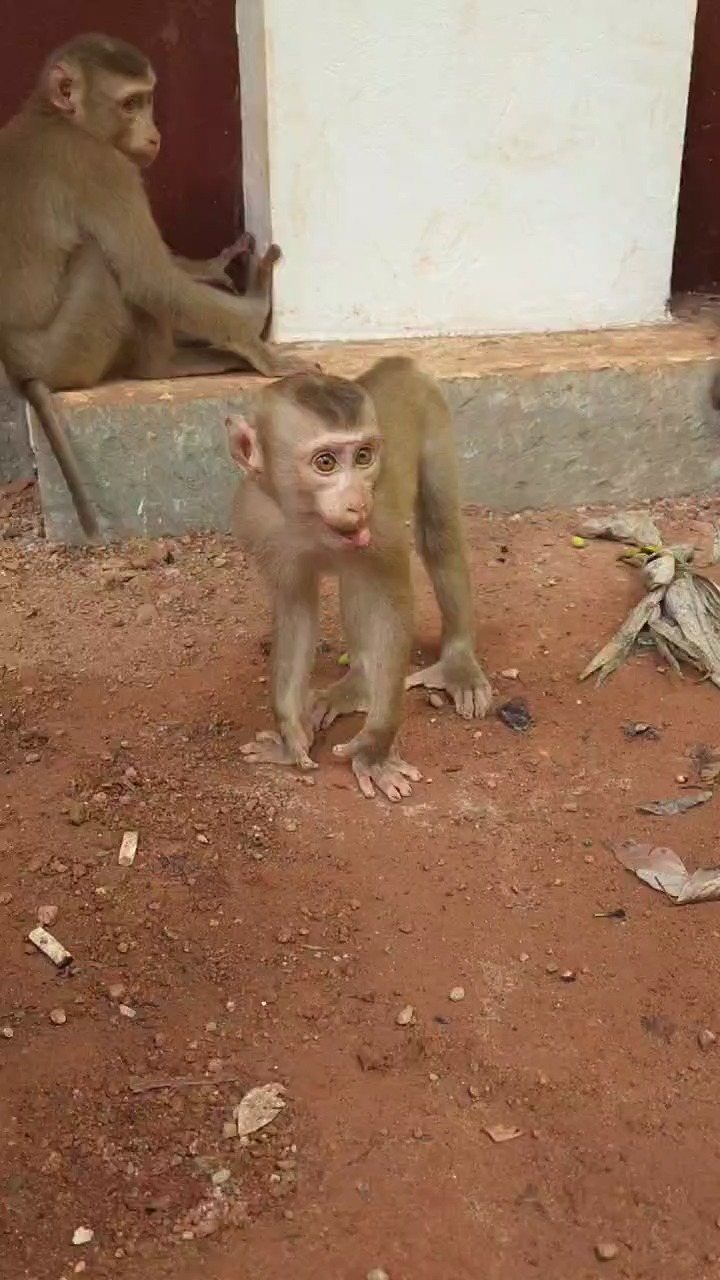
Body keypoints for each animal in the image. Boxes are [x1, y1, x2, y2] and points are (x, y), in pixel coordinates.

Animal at [0, 33, 313, 538]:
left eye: (147, 100)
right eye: (131, 104)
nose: (154, 135)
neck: (54, 116)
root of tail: (21, 372)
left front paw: (210, 267)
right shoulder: (101, 166)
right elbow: (147, 275)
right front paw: (254, 329)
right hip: (68, 351)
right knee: (103, 263)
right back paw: (165, 363)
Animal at [226, 357, 492, 802]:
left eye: (364, 457)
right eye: (326, 462)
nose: (357, 503)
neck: (310, 522)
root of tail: (396, 364)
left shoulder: (379, 523)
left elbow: (391, 606)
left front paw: (374, 749)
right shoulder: (256, 517)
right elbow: (295, 608)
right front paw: (289, 736)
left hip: (435, 417)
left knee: (439, 536)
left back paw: (457, 663)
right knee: (353, 582)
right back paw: (359, 684)